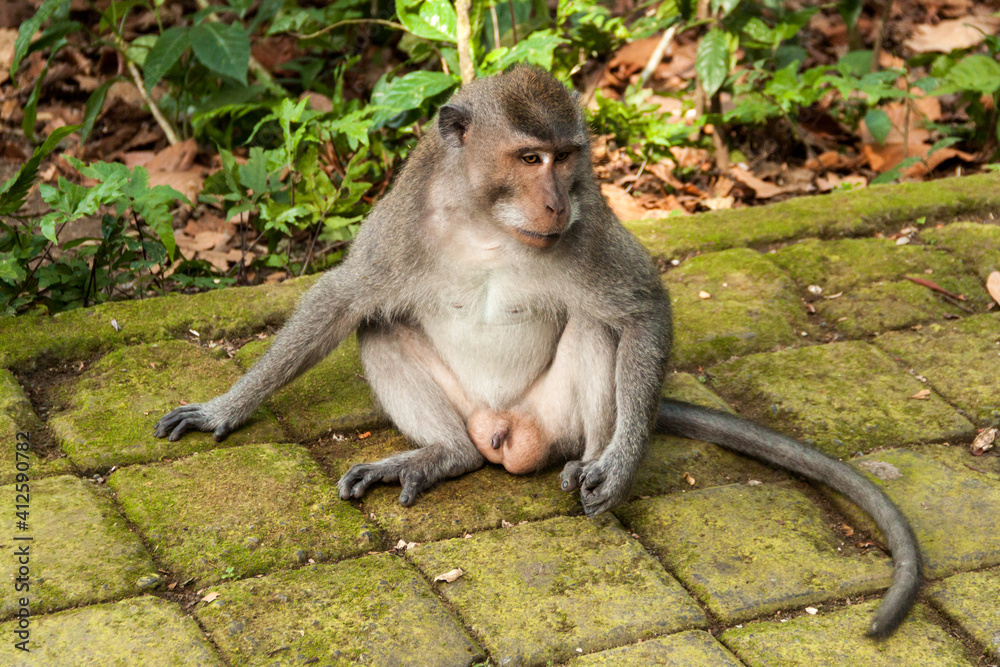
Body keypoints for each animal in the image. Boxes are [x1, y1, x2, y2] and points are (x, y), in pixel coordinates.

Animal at [154, 66, 920, 637]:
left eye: (566, 158)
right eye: (529, 158)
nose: (554, 201)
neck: (490, 219)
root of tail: (501, 427)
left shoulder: (591, 220)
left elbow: (641, 309)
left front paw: (621, 466)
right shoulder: (402, 219)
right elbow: (347, 298)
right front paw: (225, 410)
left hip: (551, 421)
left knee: (598, 329)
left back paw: (591, 456)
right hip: (469, 410)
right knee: (381, 325)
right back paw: (443, 454)